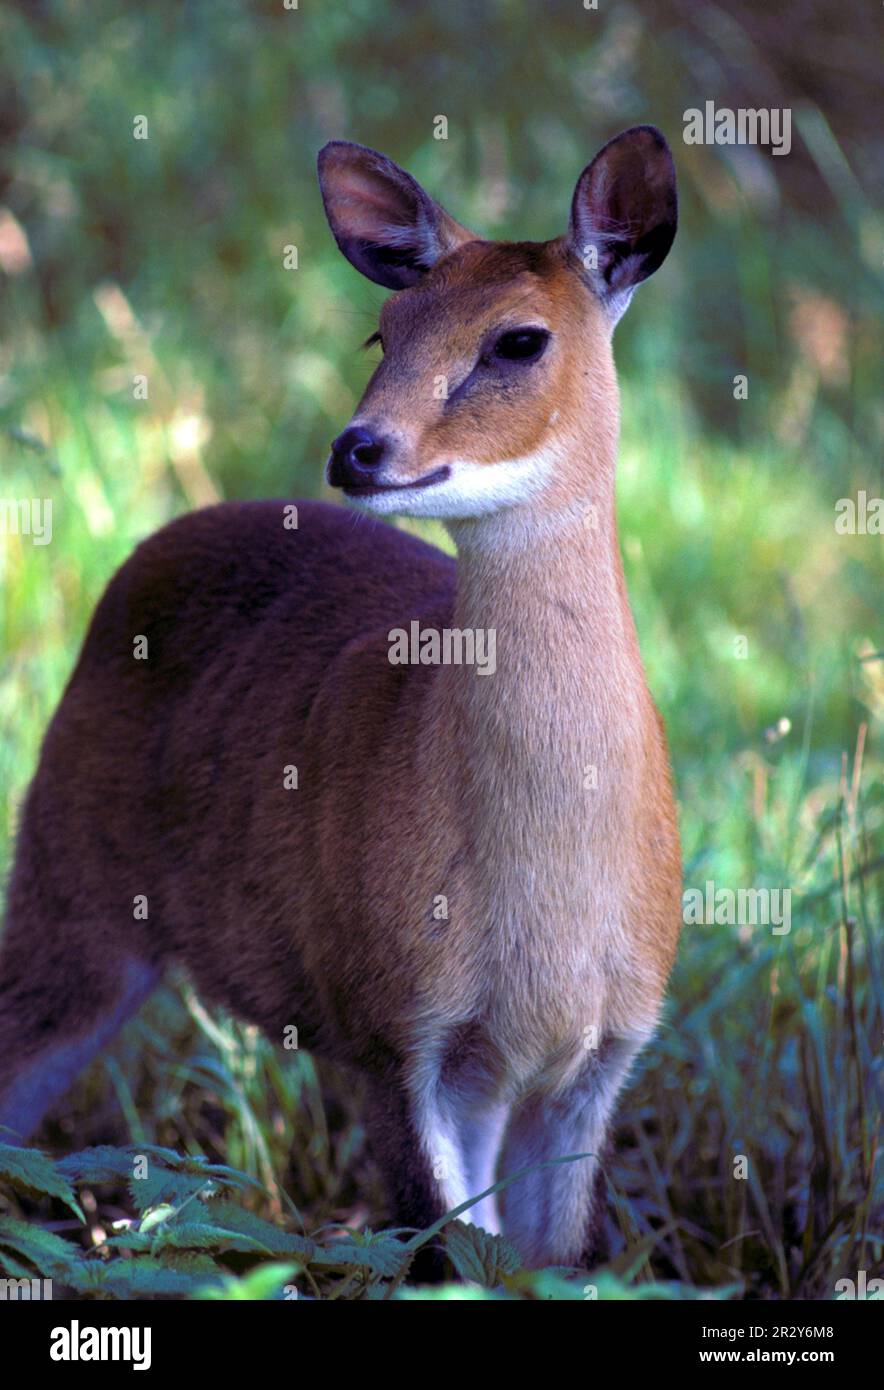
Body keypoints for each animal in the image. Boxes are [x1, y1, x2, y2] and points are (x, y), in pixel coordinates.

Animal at [0, 126, 682, 1271]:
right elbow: (440, 1250)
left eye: (519, 340)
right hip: (67, 884)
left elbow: (547, 1263)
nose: (357, 448)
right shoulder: (391, 1025)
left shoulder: (603, 1050)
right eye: (382, 329)